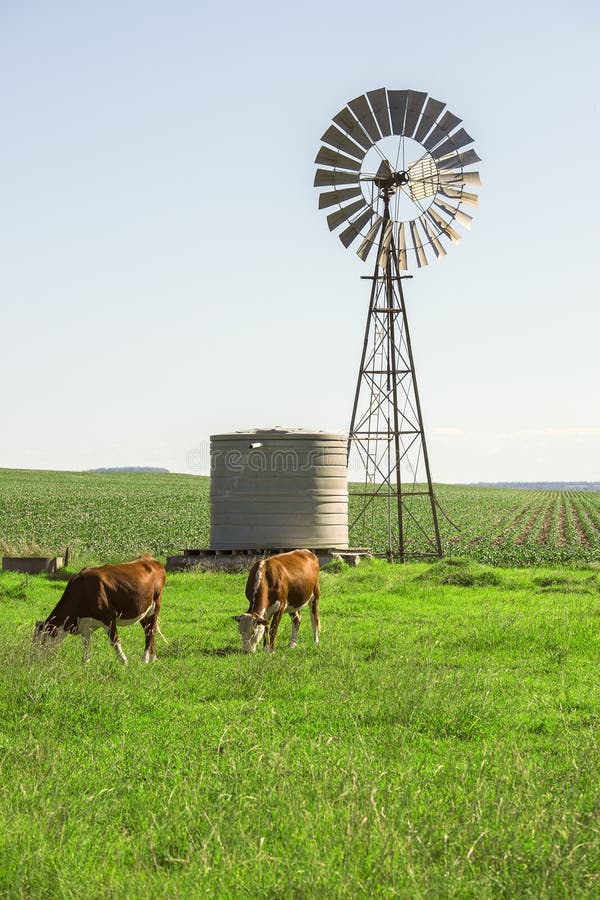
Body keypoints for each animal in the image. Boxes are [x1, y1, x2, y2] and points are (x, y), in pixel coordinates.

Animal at [33, 556, 166, 665]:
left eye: (41, 641)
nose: (33, 660)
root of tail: (152, 560)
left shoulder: (109, 618)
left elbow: (115, 640)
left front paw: (124, 662)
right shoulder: (85, 624)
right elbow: (86, 643)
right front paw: (85, 662)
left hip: (155, 605)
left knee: (150, 632)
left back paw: (145, 660)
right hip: (143, 611)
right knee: (149, 630)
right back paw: (153, 658)